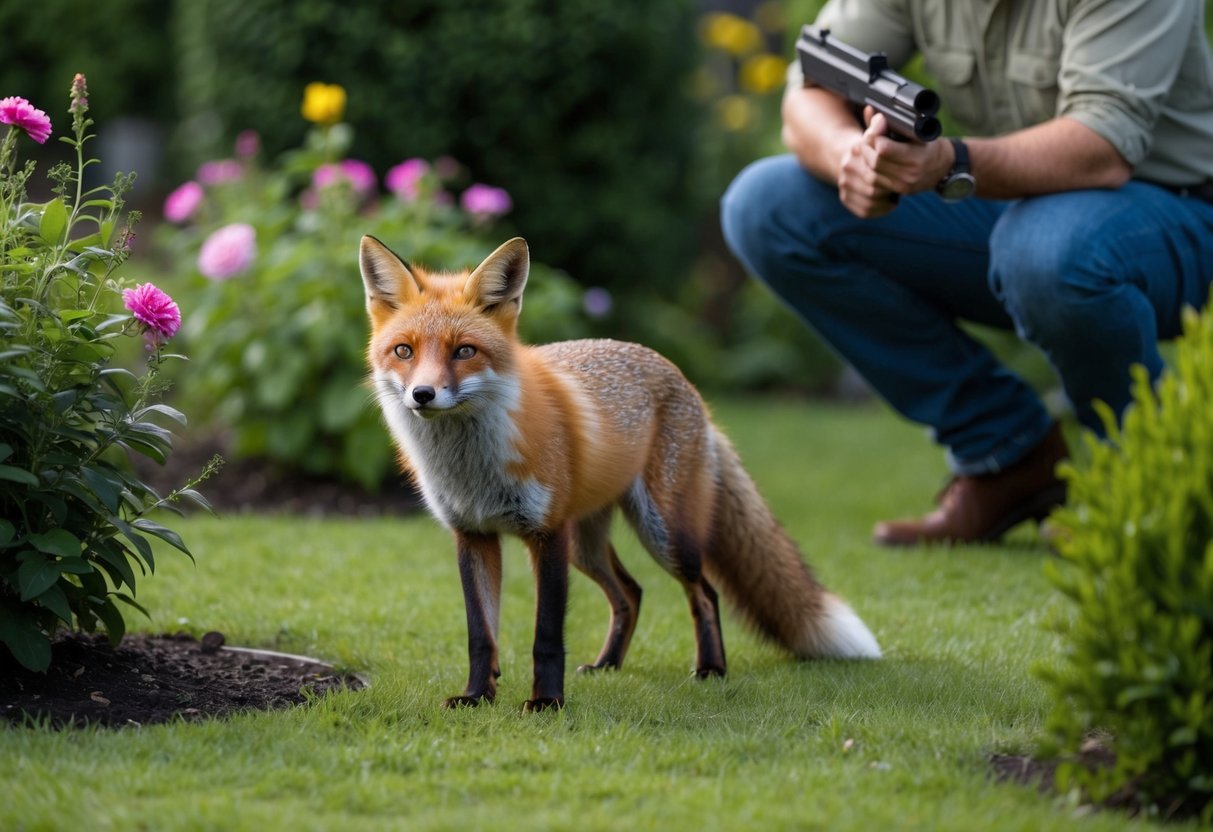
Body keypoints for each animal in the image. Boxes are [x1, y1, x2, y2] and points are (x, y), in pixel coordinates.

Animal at [359, 235, 881, 712]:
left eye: (464, 352)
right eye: (404, 351)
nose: (423, 395)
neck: (472, 468)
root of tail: (683, 380)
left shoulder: (547, 535)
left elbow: (546, 636)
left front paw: (547, 702)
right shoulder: (473, 536)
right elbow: (481, 634)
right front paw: (477, 696)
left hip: (664, 535)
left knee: (704, 592)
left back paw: (712, 668)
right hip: (586, 546)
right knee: (631, 592)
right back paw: (608, 664)